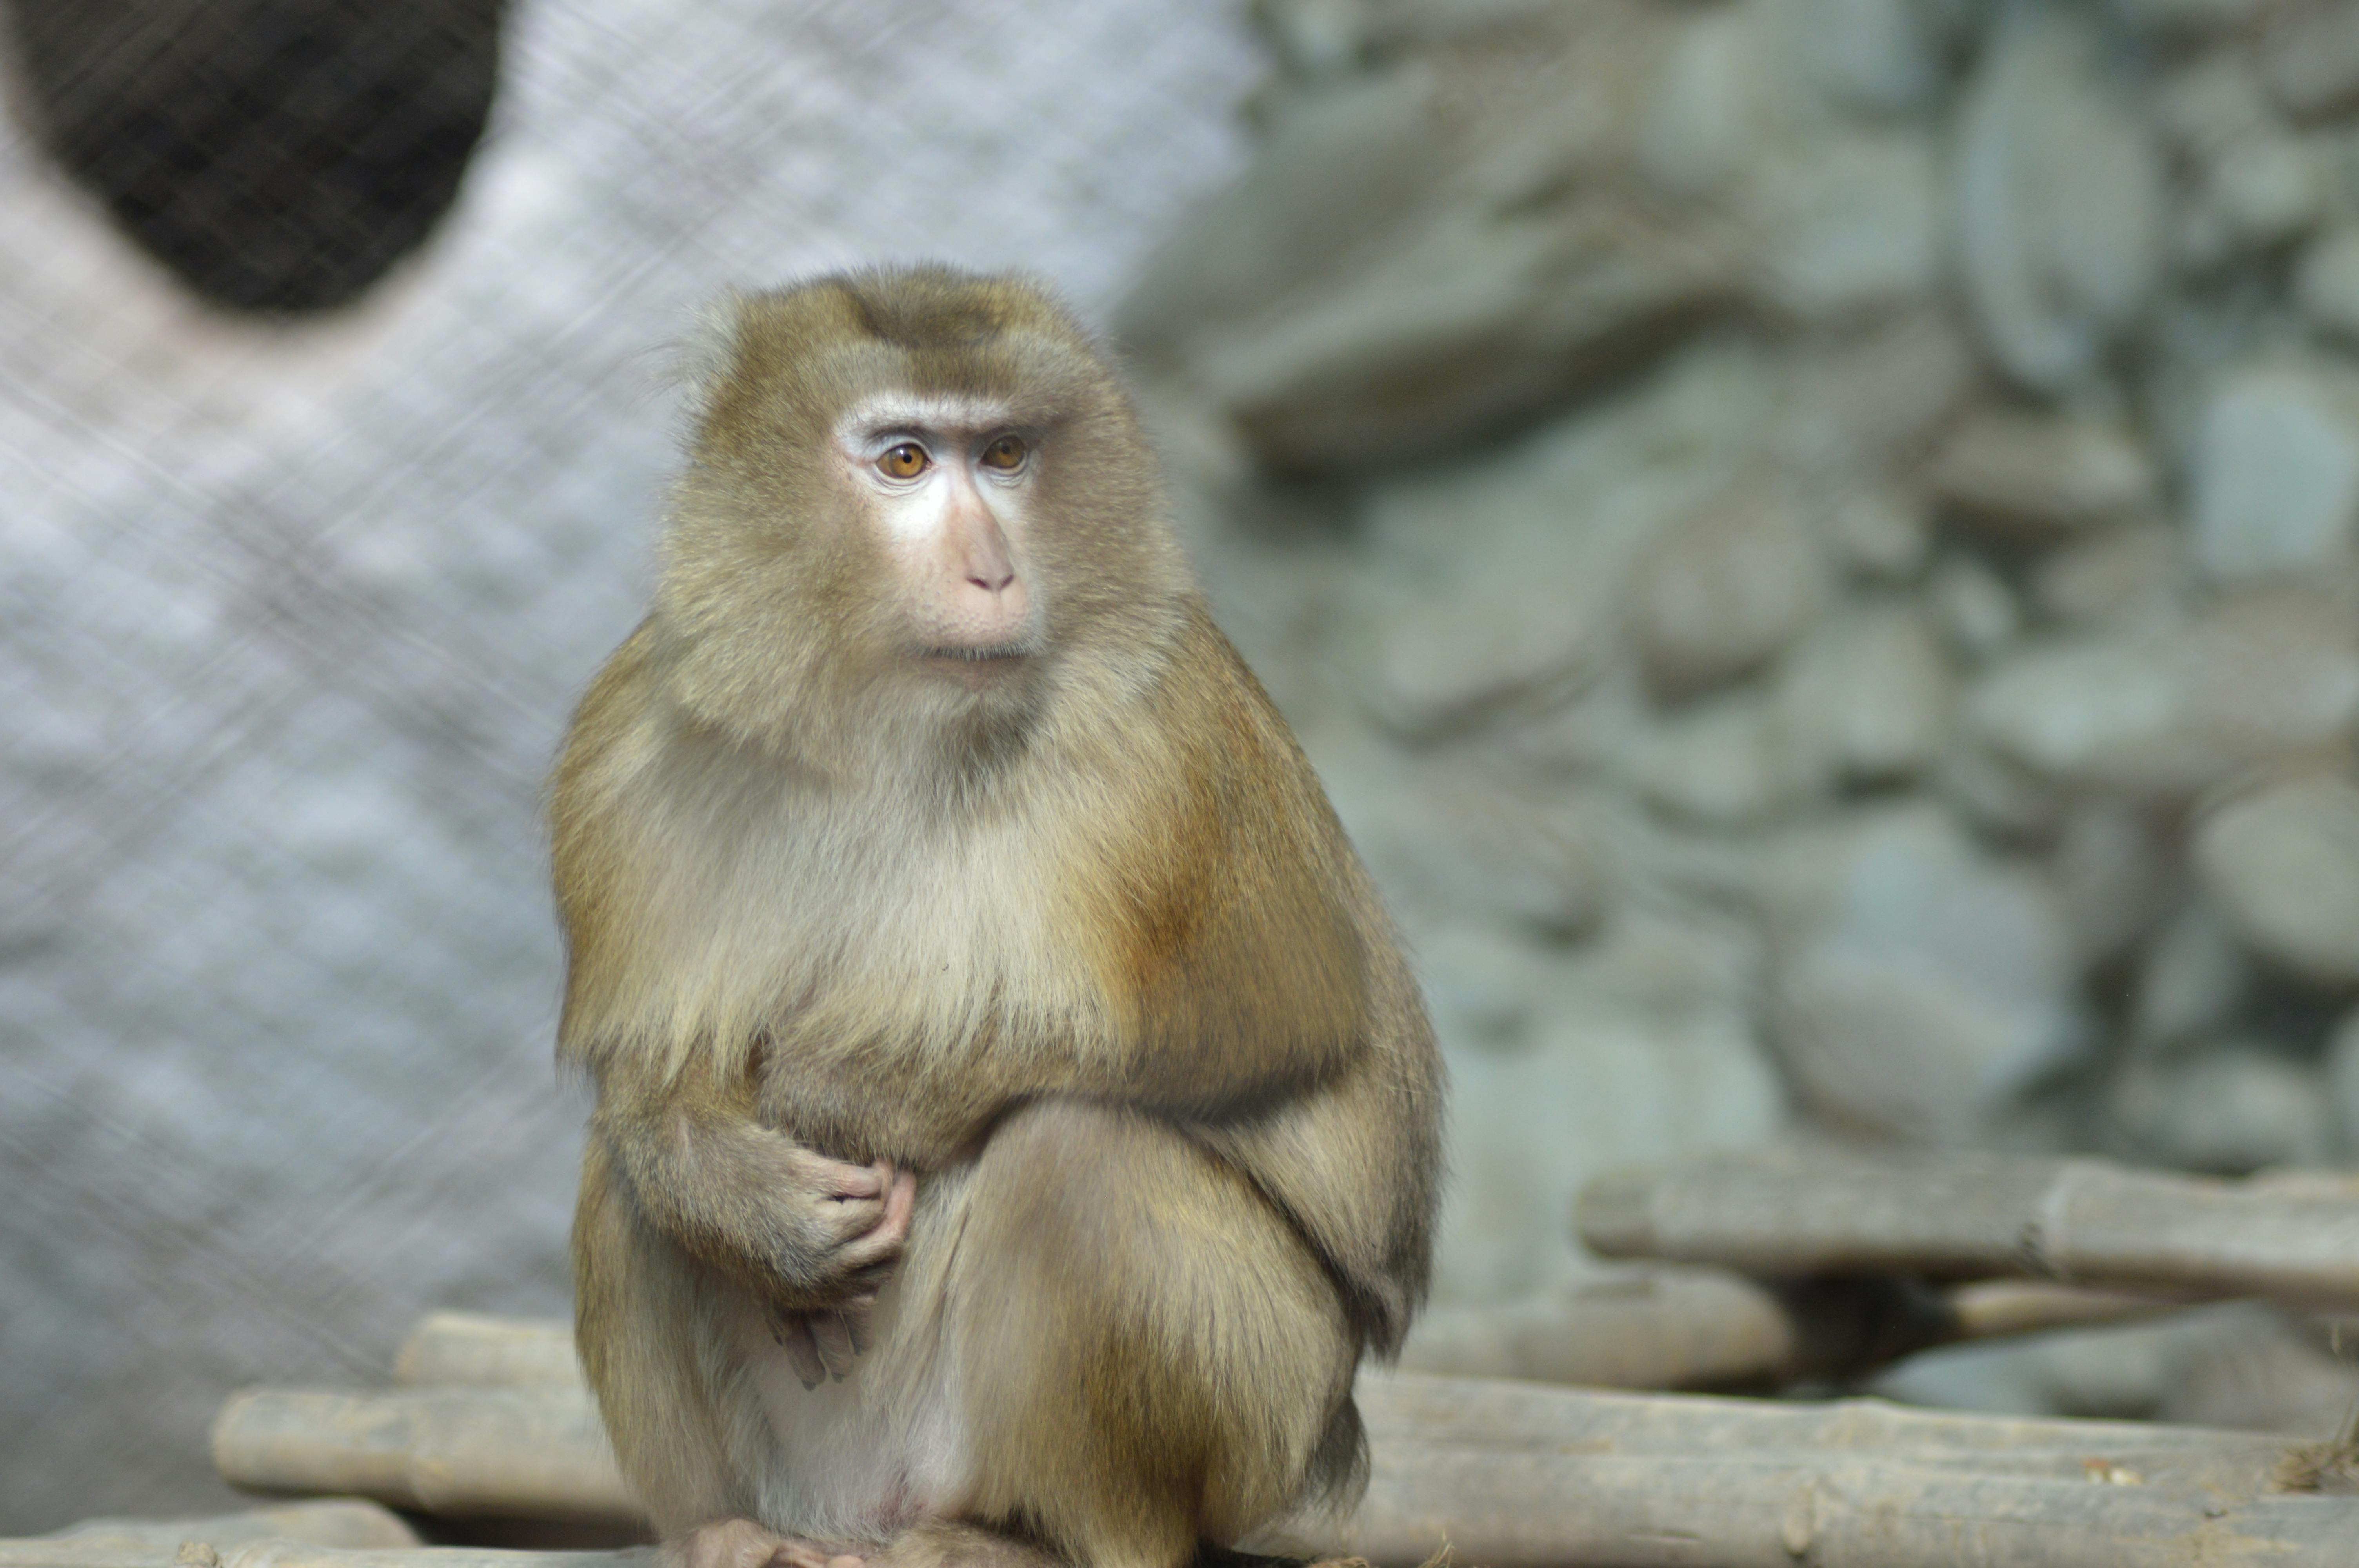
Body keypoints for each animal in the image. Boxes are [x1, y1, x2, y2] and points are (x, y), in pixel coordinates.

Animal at [552, 265, 1442, 1568]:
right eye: (906, 461)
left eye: (1009, 454)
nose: (992, 573)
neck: (893, 732)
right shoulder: (633, 728)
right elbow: (648, 1083)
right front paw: (748, 1208)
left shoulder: (1168, 739)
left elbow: (1278, 1024)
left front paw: (846, 1092)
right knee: (622, 1181)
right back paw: (725, 1530)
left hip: (1268, 1422)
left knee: (1082, 1155)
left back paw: (1038, 1539)